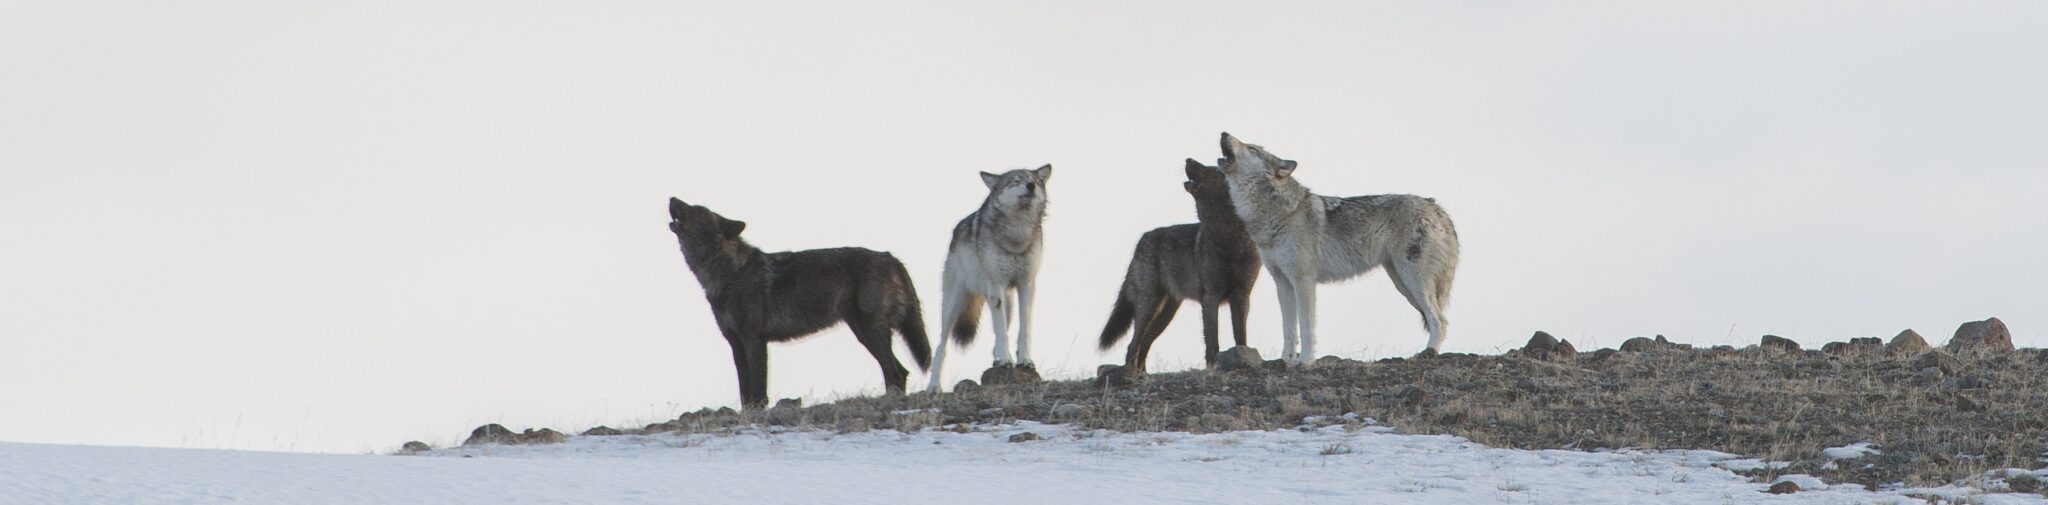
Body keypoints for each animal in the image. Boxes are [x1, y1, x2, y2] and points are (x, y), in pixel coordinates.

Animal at [666, 197, 932, 409]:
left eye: (696, 209)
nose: (672, 197)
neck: (730, 273)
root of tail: (891, 257)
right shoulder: (735, 344)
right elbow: (744, 391)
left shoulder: (754, 340)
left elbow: (758, 388)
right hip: (864, 333)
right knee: (899, 372)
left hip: (869, 333)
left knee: (896, 372)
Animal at [927, 165, 1052, 392]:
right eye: (1015, 181)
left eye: (1034, 181)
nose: (1030, 186)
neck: (1017, 235)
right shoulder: (997, 284)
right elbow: (1001, 332)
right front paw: (1006, 360)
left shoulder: (1026, 284)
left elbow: (1023, 328)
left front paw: (1025, 361)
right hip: (955, 304)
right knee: (941, 345)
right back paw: (933, 386)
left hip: (1006, 302)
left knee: (1000, 329)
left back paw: (997, 357)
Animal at [1097, 159, 1260, 373]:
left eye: (1214, 170)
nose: (1188, 159)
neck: (1229, 240)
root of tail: (1143, 238)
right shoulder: (1211, 296)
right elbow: (1212, 339)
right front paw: (1212, 367)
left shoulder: (1242, 295)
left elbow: (1241, 336)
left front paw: (1242, 357)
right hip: (1149, 306)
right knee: (1133, 344)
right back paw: (1131, 374)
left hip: (1167, 313)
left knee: (1144, 343)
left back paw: (1142, 374)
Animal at [1216, 133, 1460, 363]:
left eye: (1252, 148)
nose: (1223, 133)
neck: (1279, 214)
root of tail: (1436, 207)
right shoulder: (1283, 283)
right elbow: (1288, 329)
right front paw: (1286, 361)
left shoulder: (1304, 281)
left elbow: (1306, 326)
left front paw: (1306, 361)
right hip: (1403, 284)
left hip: (1414, 281)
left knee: (1440, 320)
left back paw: (1428, 353)